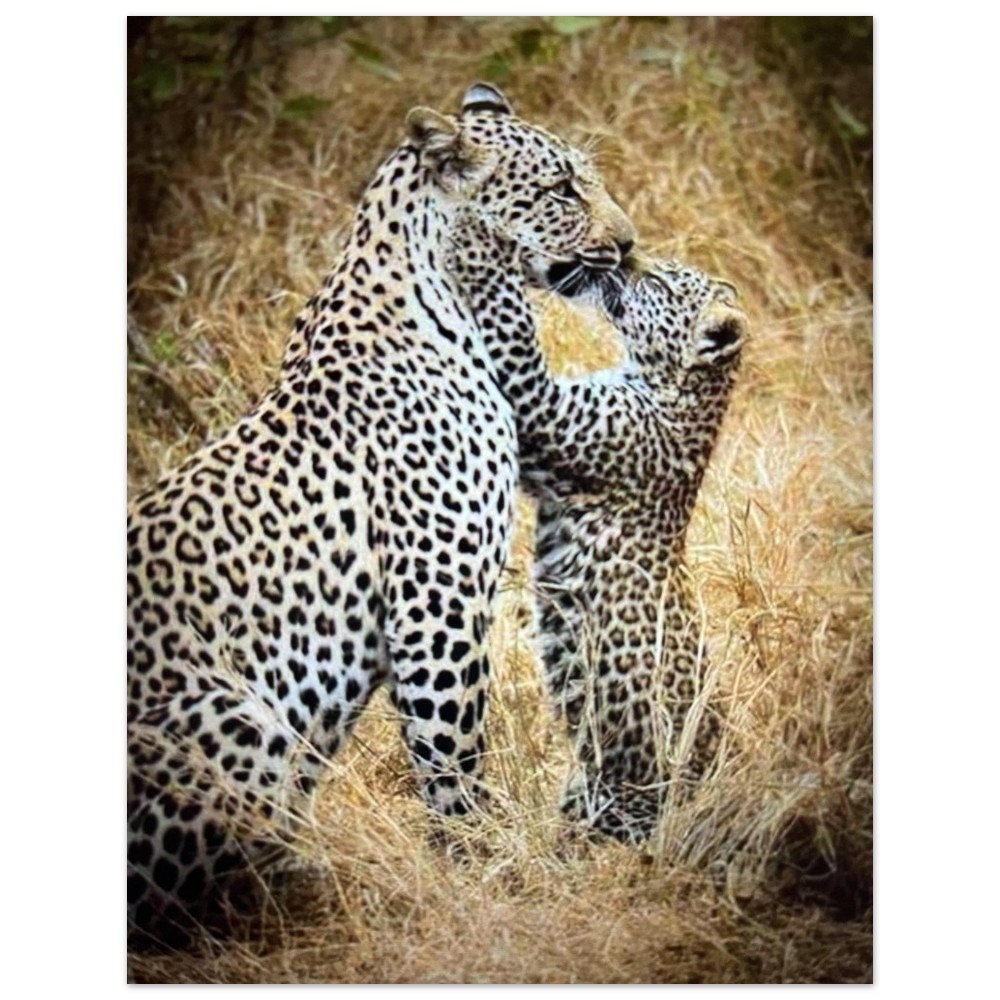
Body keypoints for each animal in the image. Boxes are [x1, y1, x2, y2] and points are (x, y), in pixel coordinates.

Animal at [127, 82, 635, 946]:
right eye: (563, 189)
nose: (630, 246)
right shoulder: (437, 599)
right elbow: (451, 747)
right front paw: (481, 869)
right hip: (235, 713)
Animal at [447, 218, 745, 844]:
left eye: (658, 281)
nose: (625, 256)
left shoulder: (551, 418)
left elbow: (515, 339)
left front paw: (479, 257)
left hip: (622, 804)